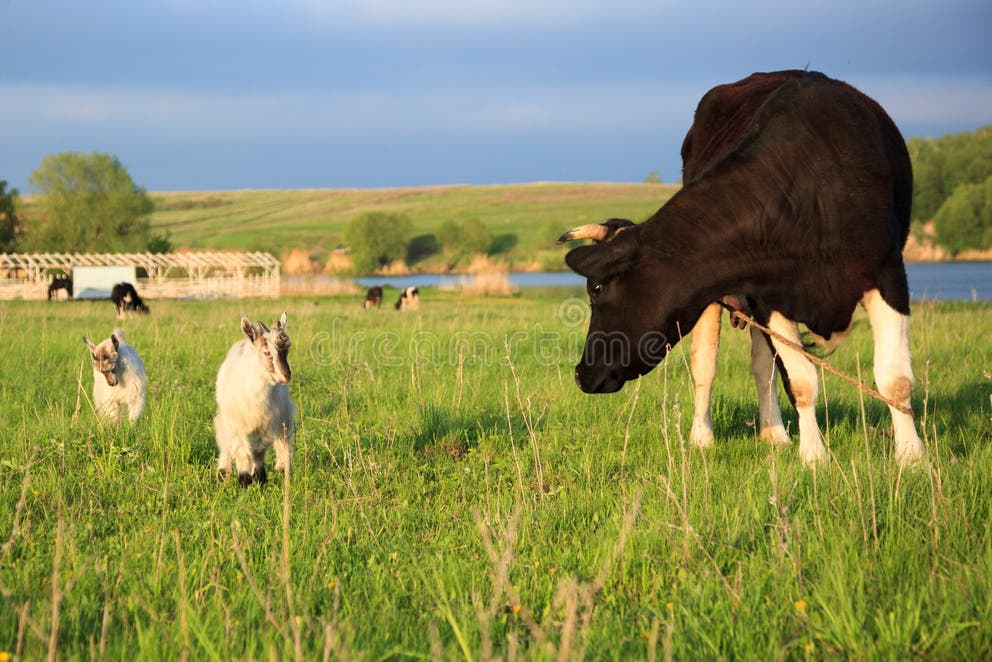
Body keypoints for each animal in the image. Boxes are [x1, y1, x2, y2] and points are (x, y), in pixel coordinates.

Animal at [559, 70, 926, 466]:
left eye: (597, 288)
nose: (581, 374)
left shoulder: (888, 271)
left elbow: (895, 378)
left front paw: (912, 457)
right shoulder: (770, 296)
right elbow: (801, 380)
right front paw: (814, 457)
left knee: (762, 365)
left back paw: (775, 435)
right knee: (708, 365)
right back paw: (704, 437)